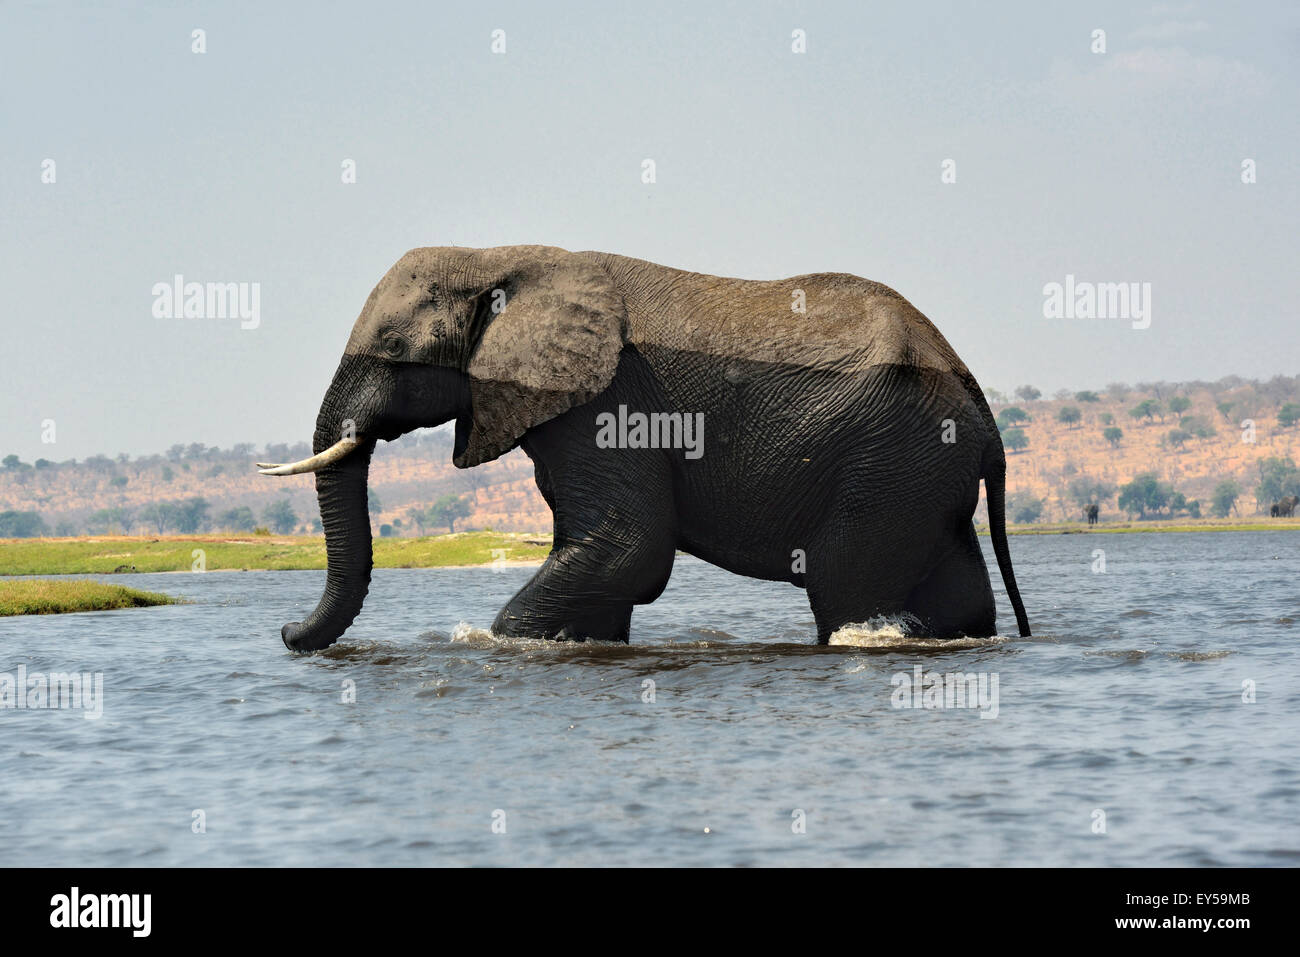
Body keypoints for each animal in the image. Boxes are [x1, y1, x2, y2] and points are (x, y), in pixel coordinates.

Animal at [258, 245, 1031, 651]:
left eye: (393, 351)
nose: (286, 630)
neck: (503, 254)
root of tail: (982, 409)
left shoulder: (606, 402)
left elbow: (630, 546)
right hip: (921, 471)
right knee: (958, 597)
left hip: (890, 460)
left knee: (844, 589)